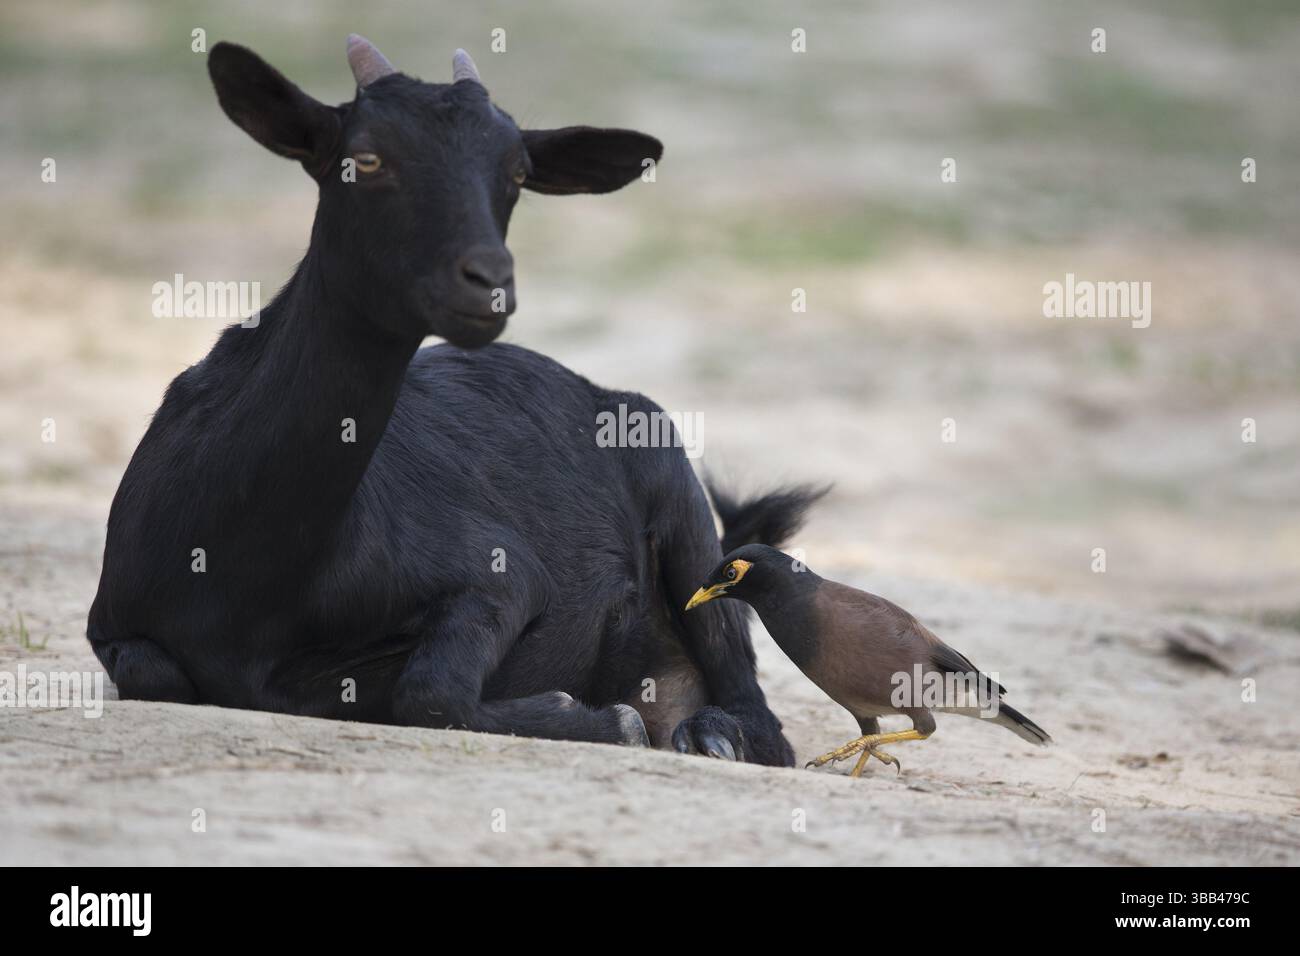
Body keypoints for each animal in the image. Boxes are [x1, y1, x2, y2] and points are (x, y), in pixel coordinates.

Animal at [86, 36, 823, 766]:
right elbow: (155, 671)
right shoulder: (114, 622)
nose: (487, 281)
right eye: (365, 158)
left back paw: (709, 733)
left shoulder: (501, 574)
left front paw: (603, 719)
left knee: (761, 712)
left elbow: (431, 691)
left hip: (687, 514)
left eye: (518, 171)